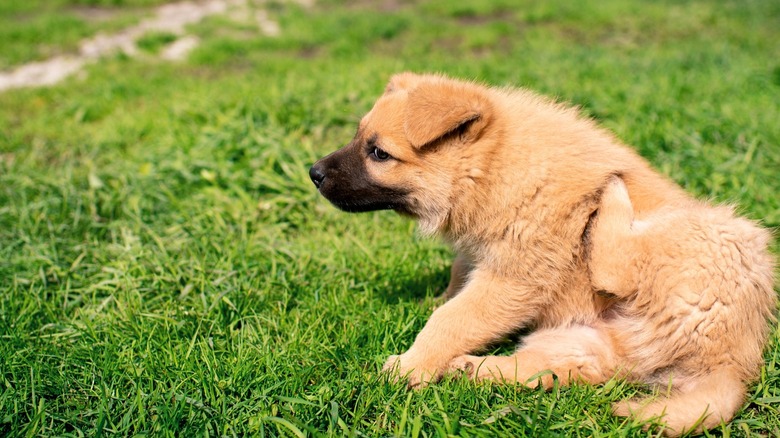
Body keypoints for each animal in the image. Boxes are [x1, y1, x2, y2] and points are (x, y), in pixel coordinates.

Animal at [308, 72, 776, 434]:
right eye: (358, 137)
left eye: (379, 153)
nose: (313, 173)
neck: (493, 168)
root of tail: (735, 361)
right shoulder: (481, 257)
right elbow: (457, 283)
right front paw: (429, 305)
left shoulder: (513, 277)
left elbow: (452, 318)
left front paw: (412, 366)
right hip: (582, 343)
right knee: (548, 371)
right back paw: (473, 369)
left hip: (698, 234)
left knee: (615, 267)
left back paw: (612, 193)